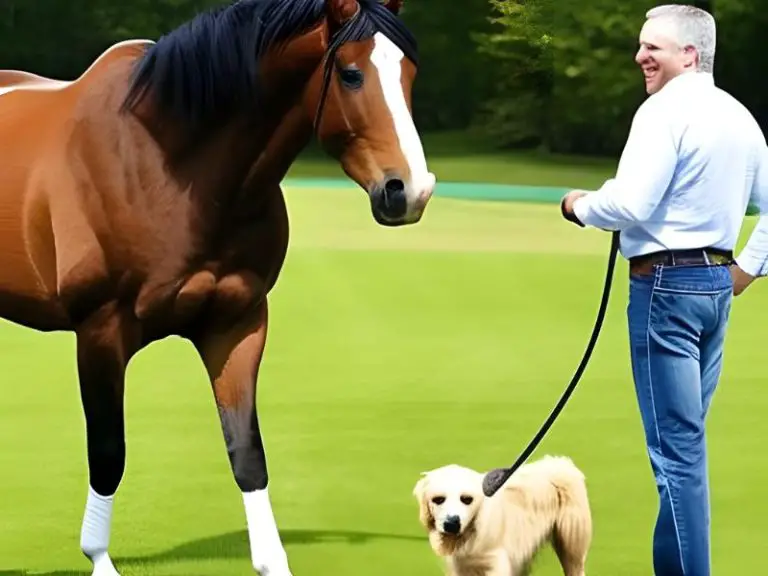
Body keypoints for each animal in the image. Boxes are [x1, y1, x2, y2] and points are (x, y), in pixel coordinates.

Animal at [0, 0, 434, 573]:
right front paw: (97, 555)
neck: (170, 167)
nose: (410, 191)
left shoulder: (236, 324)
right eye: (350, 73)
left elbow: (247, 453)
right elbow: (108, 453)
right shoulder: (100, 332)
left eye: (409, 74)